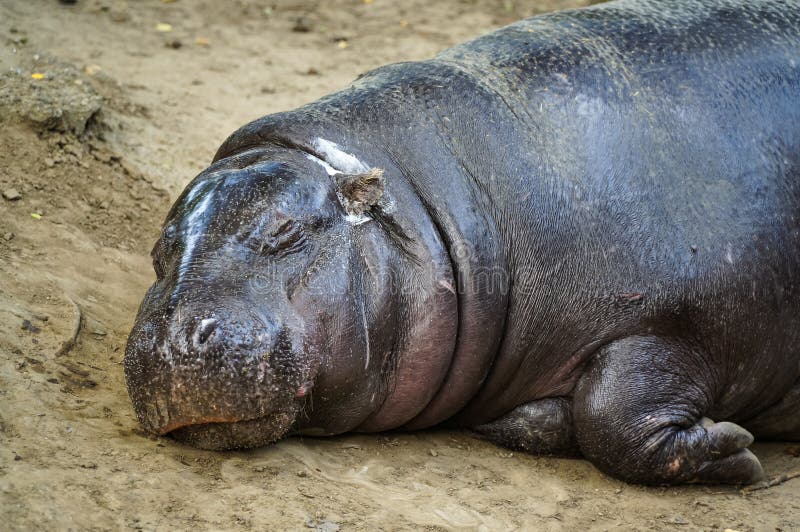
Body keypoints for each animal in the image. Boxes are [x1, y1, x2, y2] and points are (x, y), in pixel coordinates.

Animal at [124, 0, 800, 485]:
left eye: (286, 231)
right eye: (160, 249)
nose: (172, 337)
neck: (419, 210)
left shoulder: (684, 320)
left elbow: (610, 414)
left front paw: (740, 453)